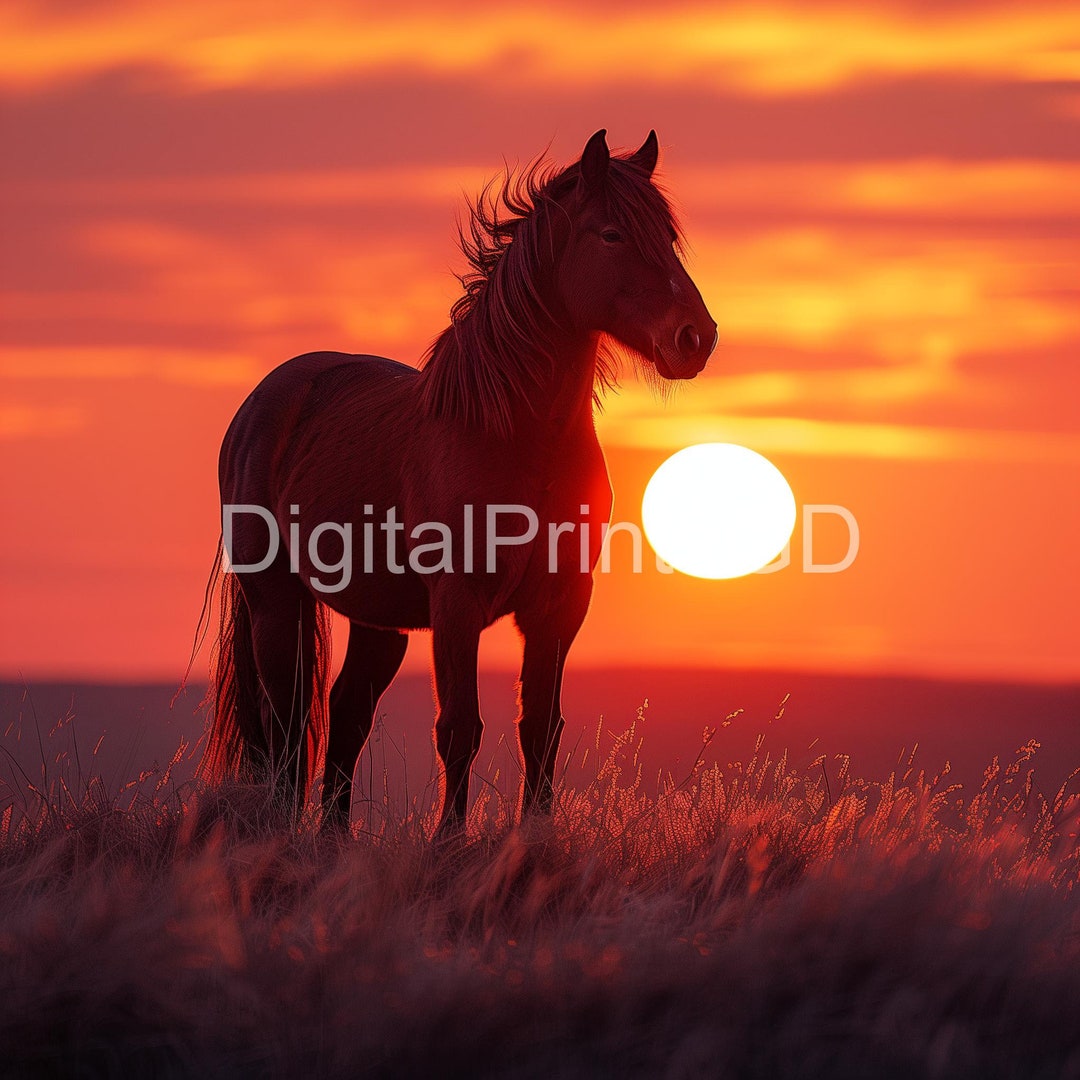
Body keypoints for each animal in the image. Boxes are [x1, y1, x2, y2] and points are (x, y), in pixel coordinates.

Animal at [199, 129, 716, 834]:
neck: (516, 440)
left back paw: (334, 834)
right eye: (611, 234)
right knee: (286, 715)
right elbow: (460, 728)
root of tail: (262, 401)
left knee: (346, 710)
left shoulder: (560, 607)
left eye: (666, 234)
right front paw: (450, 839)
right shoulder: (457, 604)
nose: (696, 338)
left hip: (379, 618)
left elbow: (540, 729)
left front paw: (534, 836)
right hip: (275, 598)